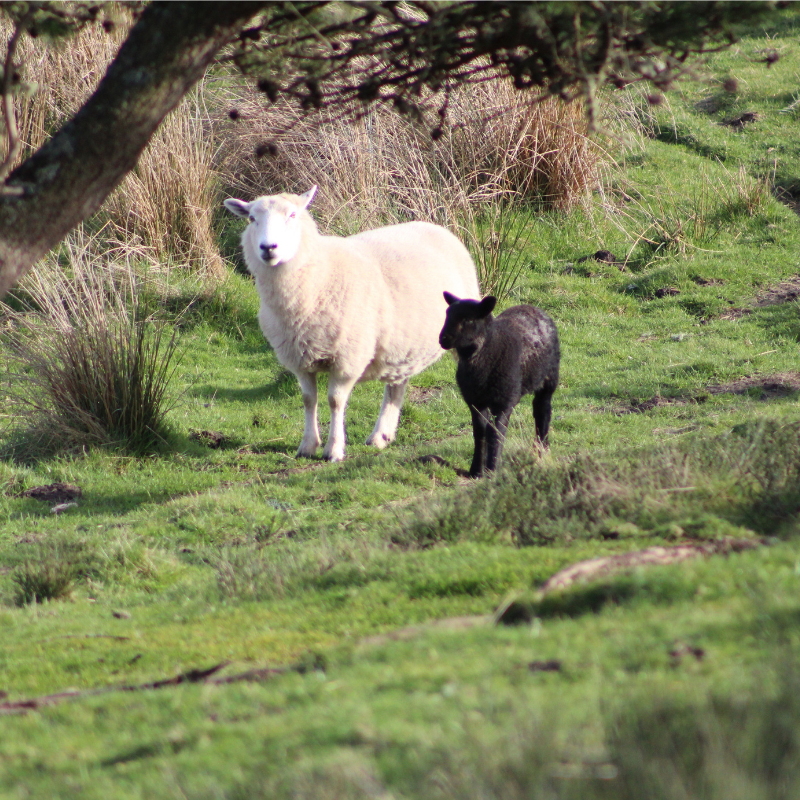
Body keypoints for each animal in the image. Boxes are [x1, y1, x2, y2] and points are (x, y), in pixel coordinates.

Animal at [224, 186, 480, 462]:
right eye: (251, 218)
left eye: (292, 215)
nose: (268, 247)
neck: (317, 279)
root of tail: (436, 227)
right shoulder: (299, 359)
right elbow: (308, 399)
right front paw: (308, 445)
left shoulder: (347, 357)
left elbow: (335, 401)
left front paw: (334, 450)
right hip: (402, 345)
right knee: (396, 387)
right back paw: (381, 436)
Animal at [439, 292, 560, 478]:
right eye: (447, 314)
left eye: (469, 320)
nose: (443, 339)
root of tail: (534, 308)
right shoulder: (475, 400)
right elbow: (480, 431)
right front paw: (476, 470)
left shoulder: (504, 400)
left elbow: (497, 433)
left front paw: (492, 469)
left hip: (549, 378)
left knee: (543, 411)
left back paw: (542, 451)